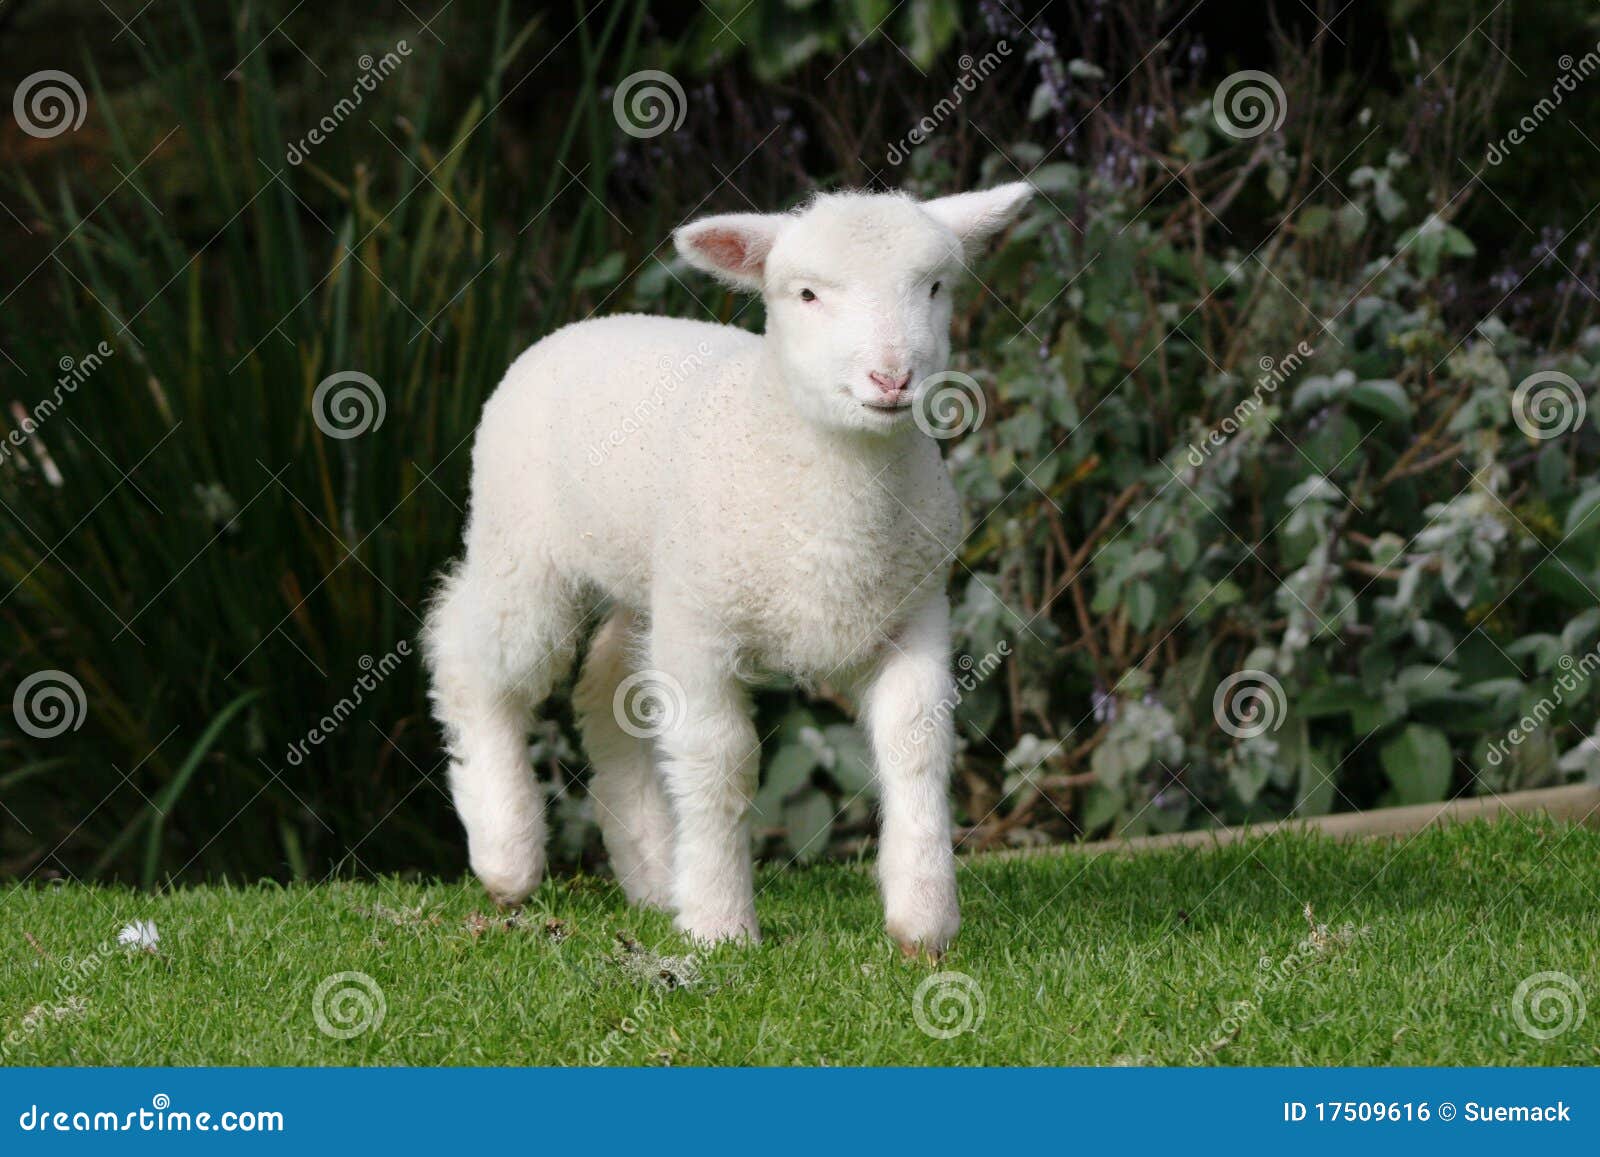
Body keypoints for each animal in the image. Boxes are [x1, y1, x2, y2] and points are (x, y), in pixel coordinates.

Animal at [422, 182, 1034, 953]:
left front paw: (924, 918)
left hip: (652, 582)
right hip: (524, 547)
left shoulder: (916, 612)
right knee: (474, 661)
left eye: (933, 287)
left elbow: (916, 745)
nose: (892, 377)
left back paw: (655, 873)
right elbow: (720, 762)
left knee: (605, 685)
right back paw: (506, 854)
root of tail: (585, 326)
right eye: (806, 294)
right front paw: (720, 925)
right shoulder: (703, 629)